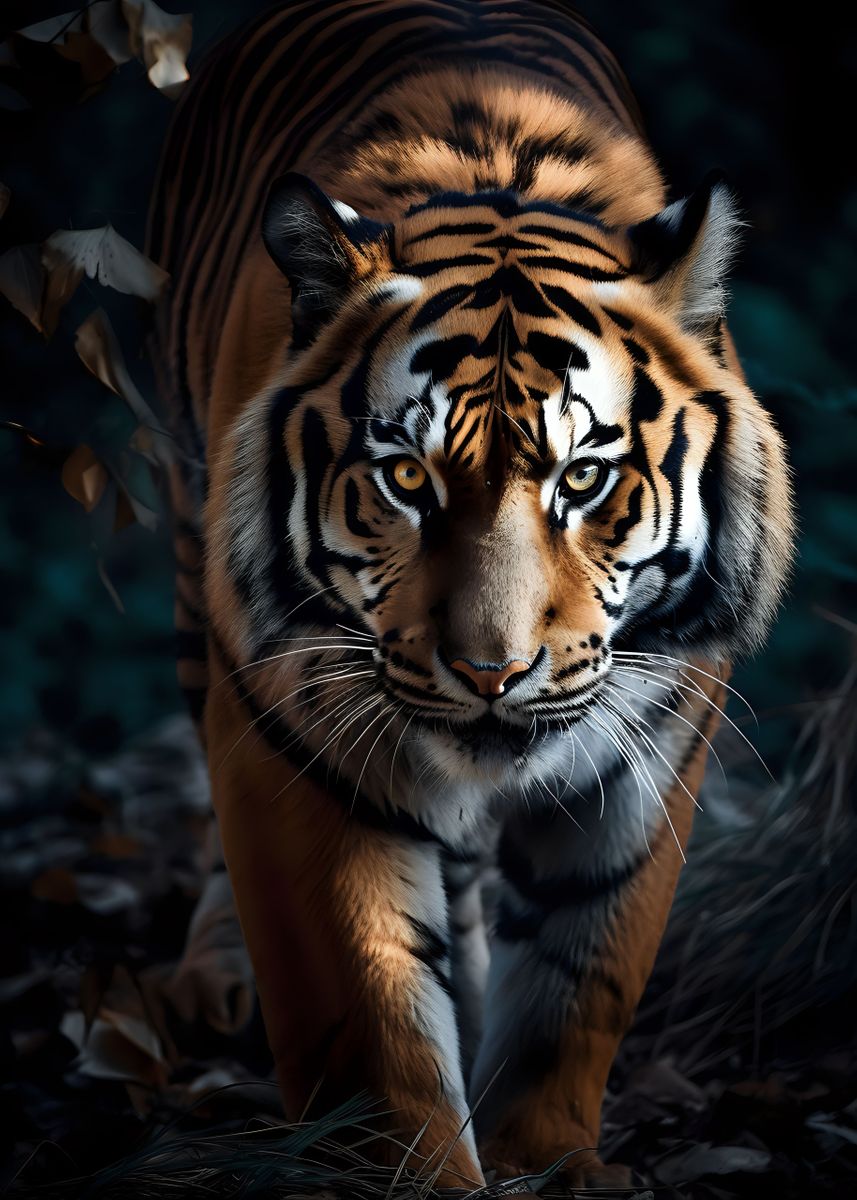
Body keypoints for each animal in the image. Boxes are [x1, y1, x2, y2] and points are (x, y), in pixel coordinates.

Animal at [146, 0, 794, 1187]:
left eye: (581, 479)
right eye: (407, 479)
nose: (491, 673)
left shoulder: (649, 754)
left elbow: (575, 996)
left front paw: (546, 1165)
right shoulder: (298, 746)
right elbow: (368, 1013)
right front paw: (408, 1167)